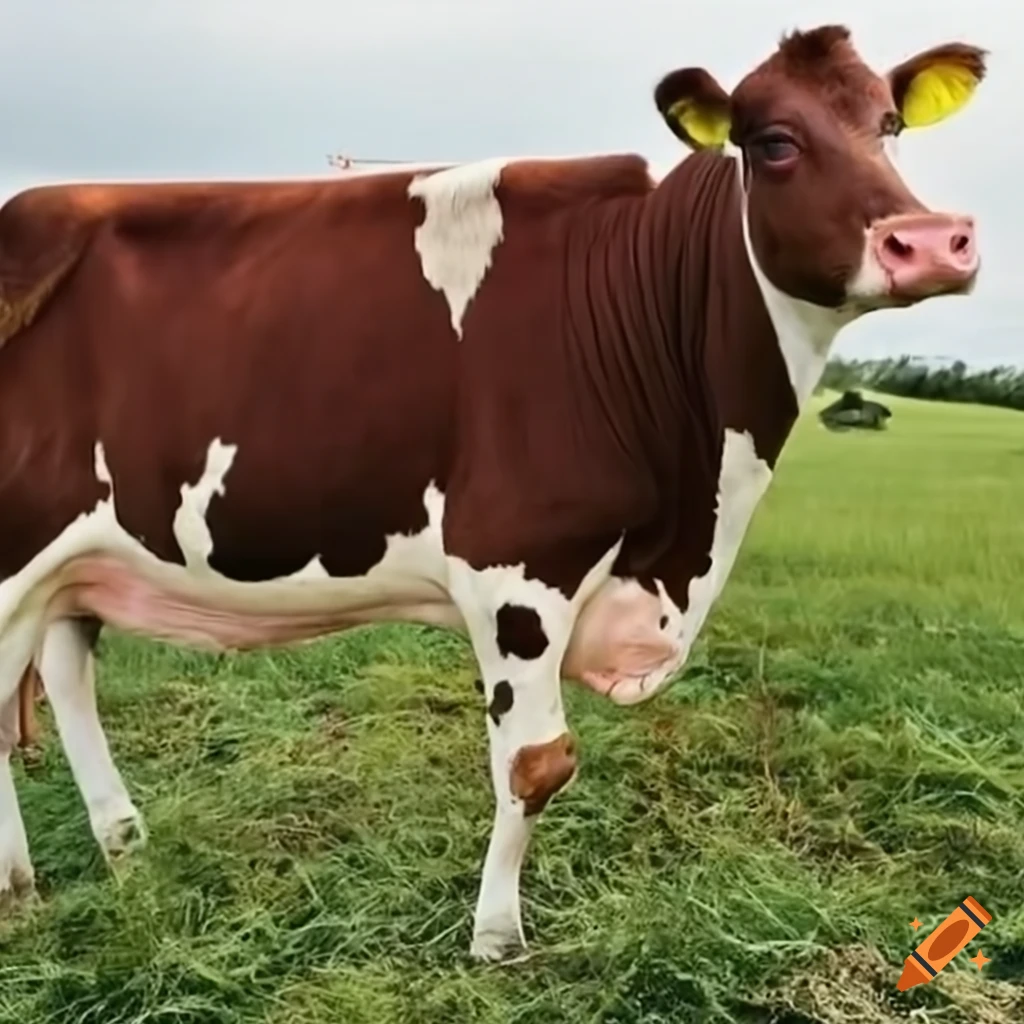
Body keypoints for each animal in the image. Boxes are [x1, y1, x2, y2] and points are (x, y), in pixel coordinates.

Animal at [0, 24, 986, 959]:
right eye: (774, 140)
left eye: (888, 126)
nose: (931, 241)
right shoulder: (517, 565)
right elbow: (537, 764)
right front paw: (496, 938)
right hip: (20, 552)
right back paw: (26, 890)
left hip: (73, 563)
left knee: (59, 677)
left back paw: (113, 853)